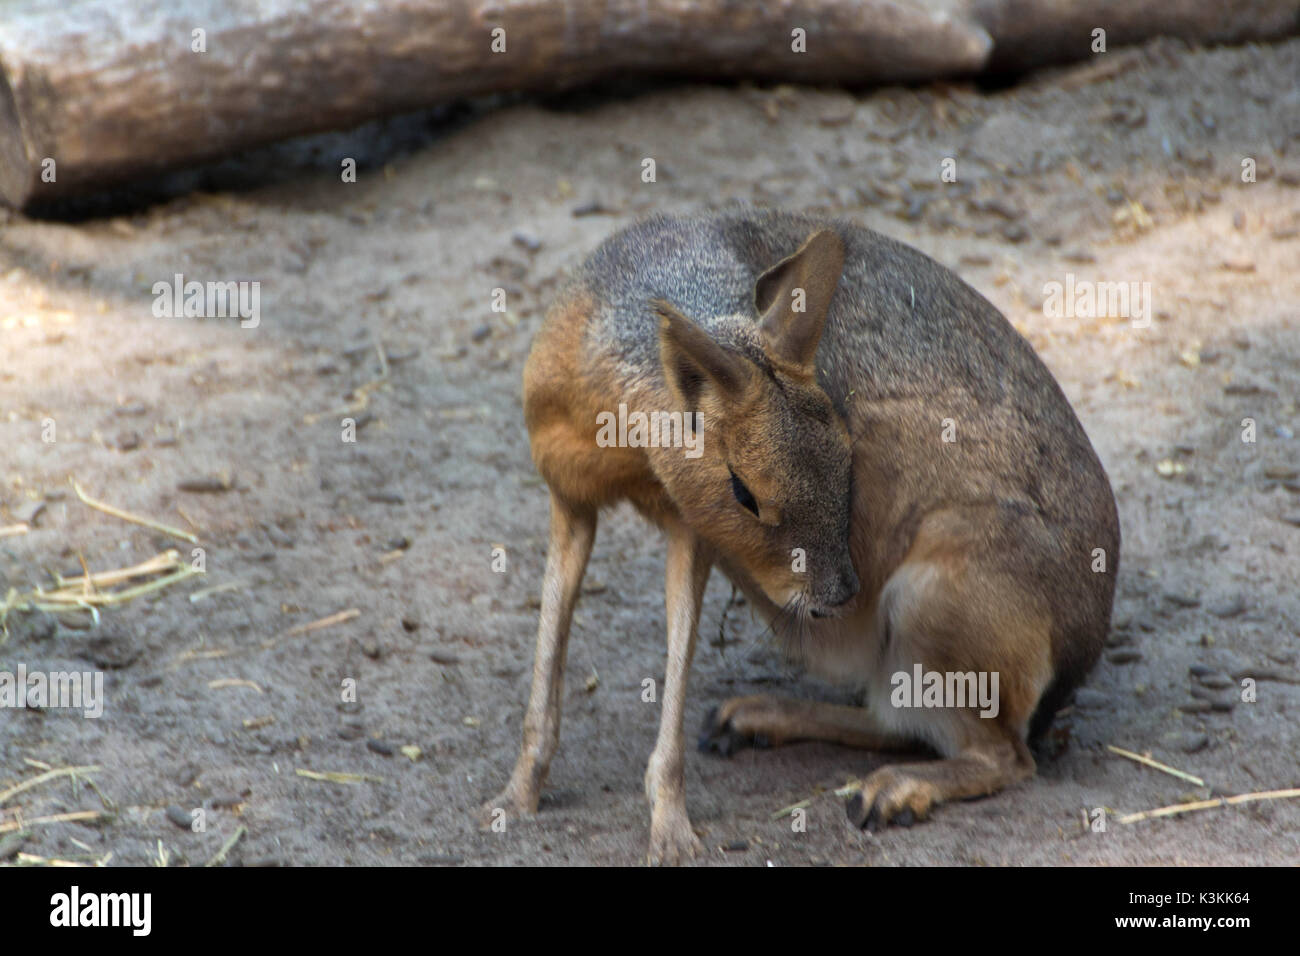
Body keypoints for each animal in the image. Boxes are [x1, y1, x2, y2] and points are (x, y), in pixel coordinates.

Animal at [481, 208, 1119, 864]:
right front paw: (514, 799)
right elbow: (548, 650)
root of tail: (1078, 655)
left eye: (849, 461)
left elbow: (676, 661)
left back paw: (892, 791)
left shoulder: (689, 528)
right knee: (900, 721)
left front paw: (671, 833)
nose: (842, 595)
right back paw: (754, 719)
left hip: (930, 602)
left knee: (1001, 754)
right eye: (744, 494)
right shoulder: (570, 500)